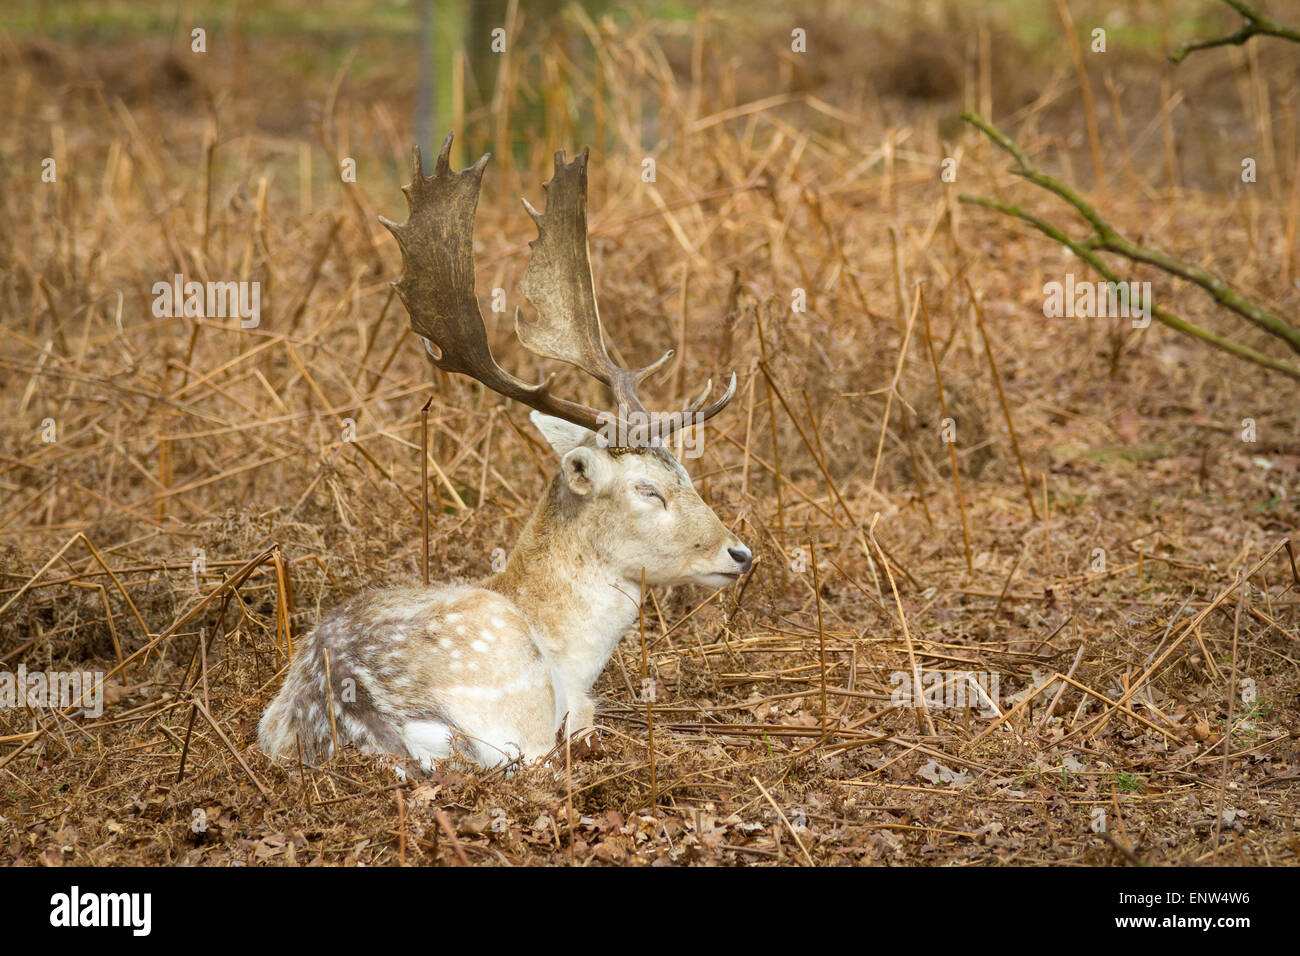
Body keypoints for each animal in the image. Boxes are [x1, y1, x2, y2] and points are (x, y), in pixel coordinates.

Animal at [258, 134, 752, 770]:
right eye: (649, 490)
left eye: (685, 471)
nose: (740, 553)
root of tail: (364, 715)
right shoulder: (567, 700)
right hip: (519, 705)